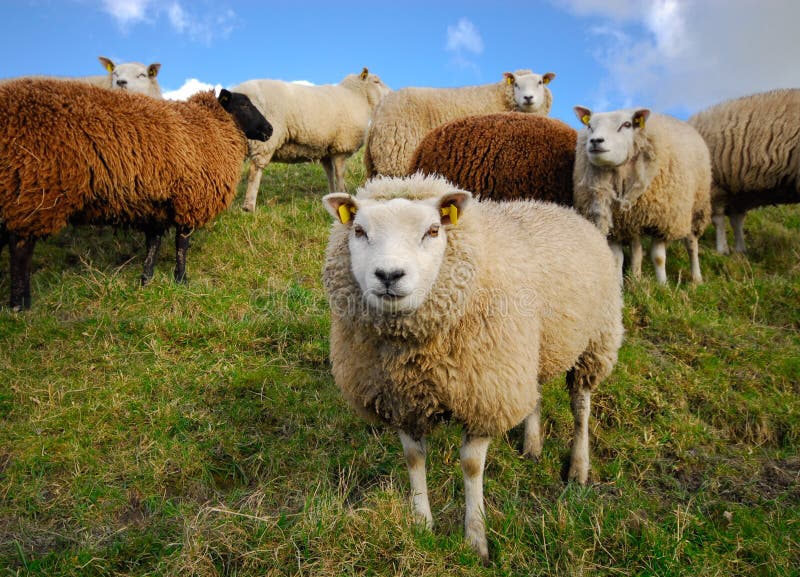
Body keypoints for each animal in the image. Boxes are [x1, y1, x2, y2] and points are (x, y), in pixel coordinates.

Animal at [0, 77, 272, 310]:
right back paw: (20, 304)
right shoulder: (190, 198)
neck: (211, 125)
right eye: (244, 104)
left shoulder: (156, 204)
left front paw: (146, 281)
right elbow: (182, 243)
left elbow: (153, 244)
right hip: (36, 191)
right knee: (21, 248)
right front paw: (181, 279)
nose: (269, 129)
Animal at [230, 68, 391, 212]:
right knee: (255, 170)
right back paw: (249, 206)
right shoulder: (340, 147)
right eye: (376, 81)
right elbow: (340, 174)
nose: (391, 94)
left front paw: (332, 194)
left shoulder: (327, 150)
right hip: (263, 139)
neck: (356, 97)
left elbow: (330, 174)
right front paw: (343, 193)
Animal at [321, 173, 623, 561]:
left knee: (581, 406)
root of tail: (561, 209)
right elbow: (413, 459)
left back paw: (578, 467)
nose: (389, 275)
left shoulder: (484, 393)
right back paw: (533, 445)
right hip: (527, 353)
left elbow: (471, 466)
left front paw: (476, 539)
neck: (416, 357)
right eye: (359, 230)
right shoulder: (402, 397)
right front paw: (421, 525)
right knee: (535, 392)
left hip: (594, 340)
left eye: (433, 230)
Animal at [572, 106, 712, 285]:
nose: (595, 141)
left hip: (697, 207)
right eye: (589, 126)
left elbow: (658, 257)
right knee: (636, 248)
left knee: (692, 244)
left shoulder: (661, 220)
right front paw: (620, 284)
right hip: (634, 219)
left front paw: (663, 285)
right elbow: (617, 258)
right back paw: (636, 277)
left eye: (627, 124)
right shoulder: (617, 224)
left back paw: (696, 278)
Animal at [688, 88, 800, 254]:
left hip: (736, 191)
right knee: (722, 219)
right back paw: (724, 250)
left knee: (736, 219)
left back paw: (740, 250)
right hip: (718, 186)